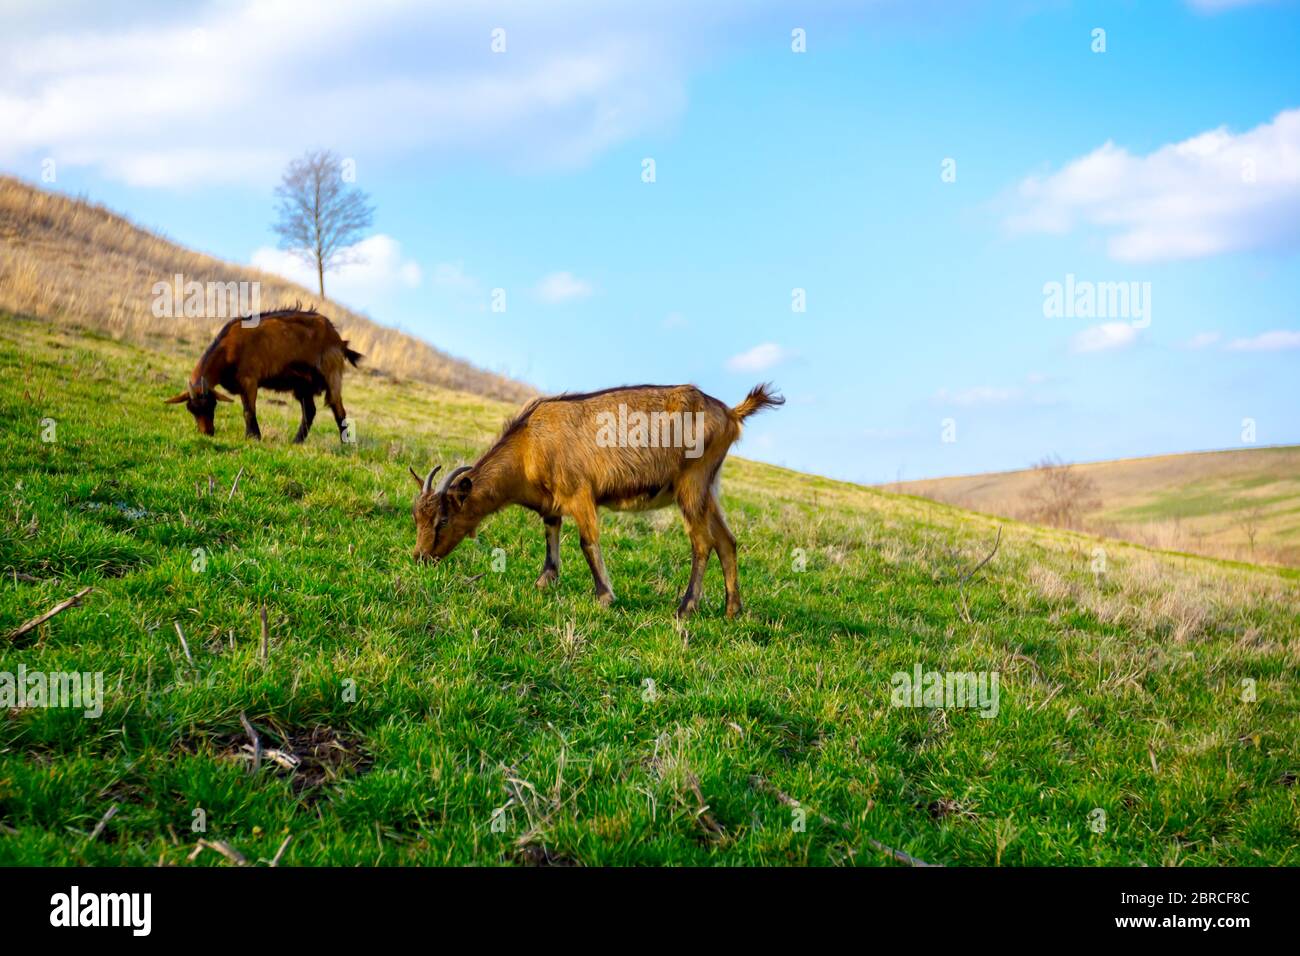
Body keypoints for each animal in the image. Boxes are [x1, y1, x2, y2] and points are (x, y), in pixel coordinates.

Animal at [164, 306, 361, 442]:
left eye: (212, 405)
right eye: (191, 409)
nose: (207, 433)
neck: (228, 349)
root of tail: (339, 340)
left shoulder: (250, 380)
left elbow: (248, 411)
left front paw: (253, 437)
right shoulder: (242, 385)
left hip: (332, 374)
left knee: (338, 409)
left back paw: (345, 445)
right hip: (303, 384)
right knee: (310, 411)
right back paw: (297, 441)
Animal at [409, 383, 784, 617]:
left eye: (443, 519)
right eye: (417, 517)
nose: (420, 557)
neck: (529, 442)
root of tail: (731, 413)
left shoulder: (579, 493)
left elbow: (587, 542)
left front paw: (605, 596)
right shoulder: (552, 502)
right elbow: (551, 533)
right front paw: (545, 581)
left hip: (691, 484)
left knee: (702, 542)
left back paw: (686, 606)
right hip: (709, 487)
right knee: (727, 541)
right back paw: (732, 609)